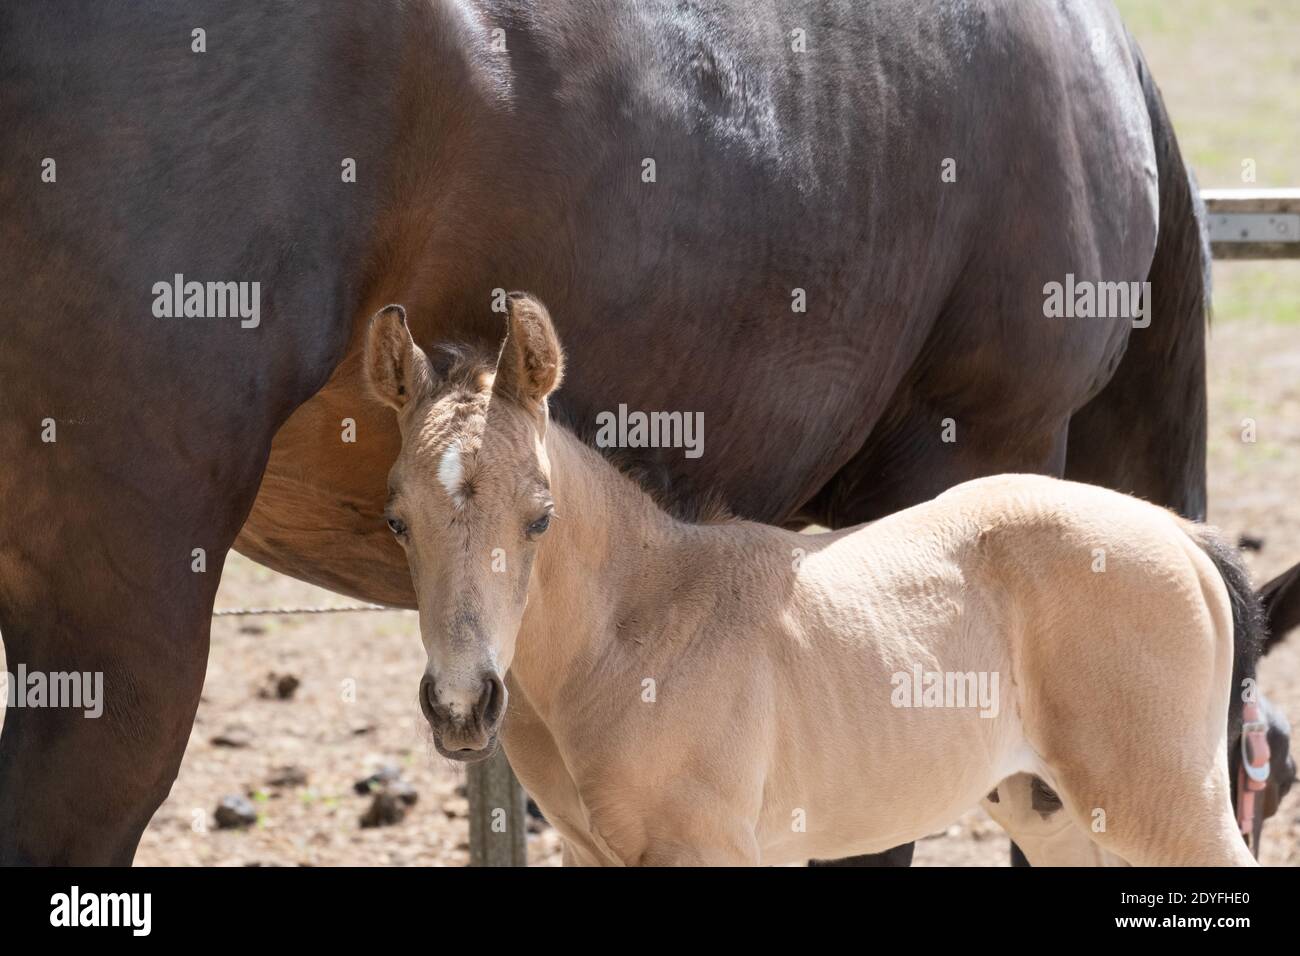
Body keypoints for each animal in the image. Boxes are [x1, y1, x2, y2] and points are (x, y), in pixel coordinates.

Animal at [362, 293, 1260, 866]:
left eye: (540, 518)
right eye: (397, 520)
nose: (461, 706)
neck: (632, 637)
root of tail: (1176, 533)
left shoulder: (709, 850)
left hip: (1165, 810)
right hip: (1051, 812)